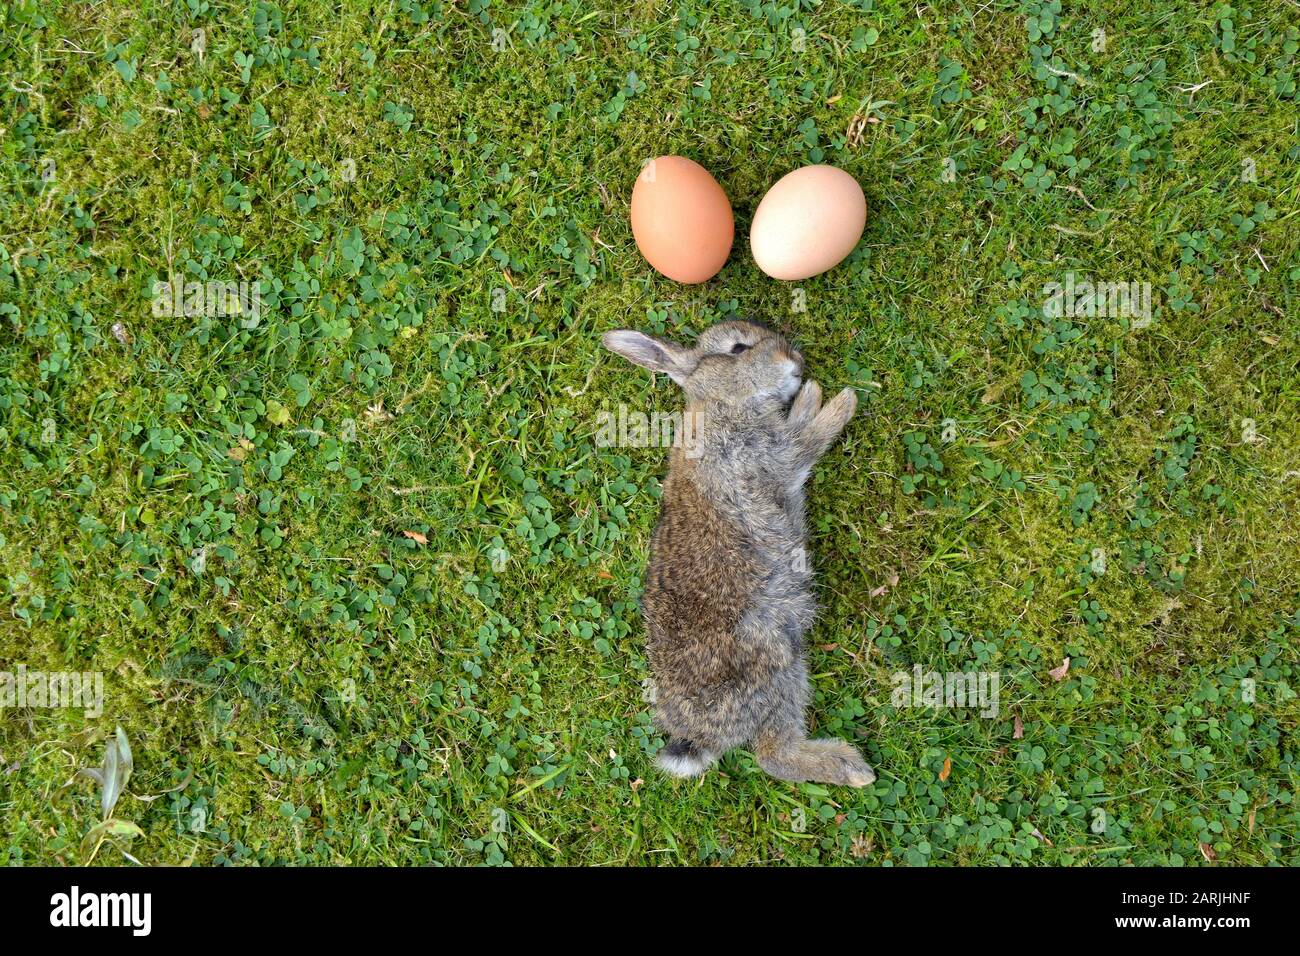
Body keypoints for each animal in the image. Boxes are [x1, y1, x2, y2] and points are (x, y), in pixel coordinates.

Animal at [602, 319, 875, 787]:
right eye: (738, 349)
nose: (795, 362)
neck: (721, 403)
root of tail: (698, 737)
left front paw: (810, 396)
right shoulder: (769, 458)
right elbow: (807, 439)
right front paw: (835, 400)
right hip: (770, 659)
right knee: (773, 754)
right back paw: (852, 767)